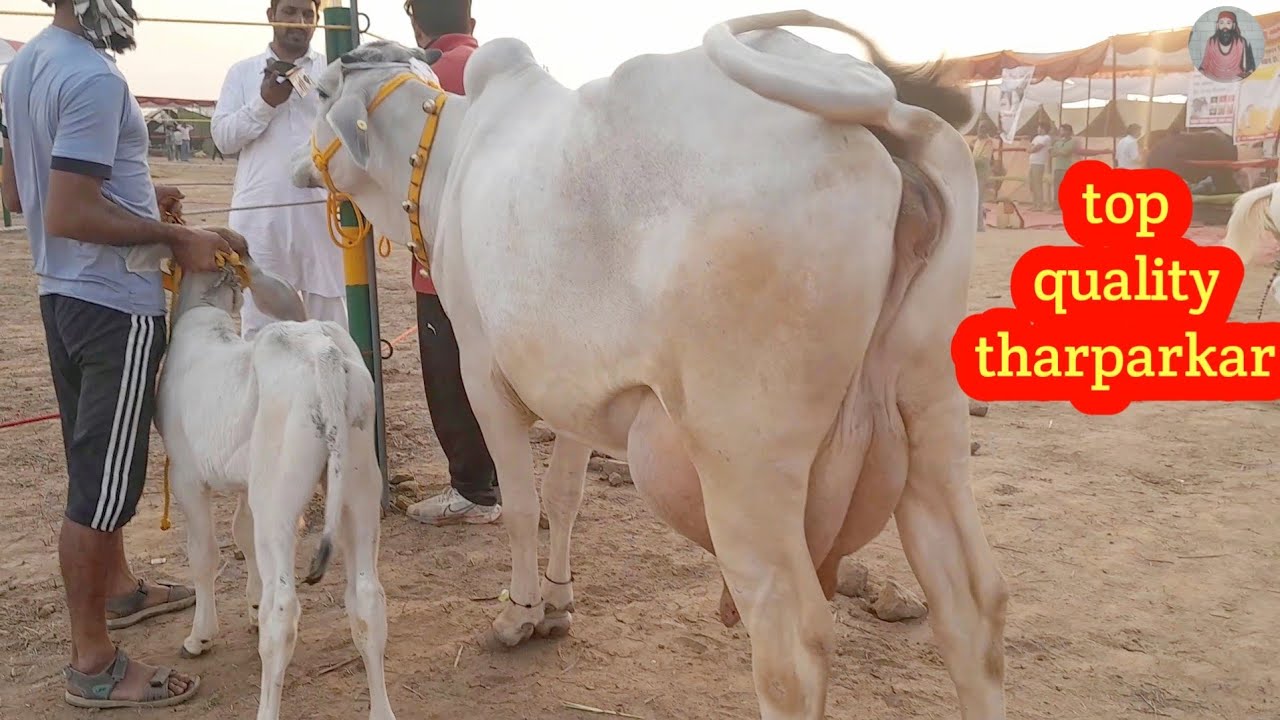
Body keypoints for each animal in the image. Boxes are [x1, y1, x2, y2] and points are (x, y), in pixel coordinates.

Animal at [128, 240, 396, 720]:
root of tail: (323, 353)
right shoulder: (247, 483)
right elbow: (241, 533)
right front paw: (249, 606)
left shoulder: (186, 476)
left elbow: (204, 554)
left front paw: (200, 636)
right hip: (357, 484)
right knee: (367, 597)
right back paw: (381, 710)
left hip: (280, 500)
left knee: (283, 610)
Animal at [293, 10, 1007, 719]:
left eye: (321, 92)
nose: (302, 169)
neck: (450, 158)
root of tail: (883, 118)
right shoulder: (572, 390)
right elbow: (566, 495)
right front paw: (557, 604)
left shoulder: (483, 371)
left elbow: (522, 504)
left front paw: (519, 614)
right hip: (931, 423)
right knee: (971, 609)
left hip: (745, 462)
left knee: (792, 651)